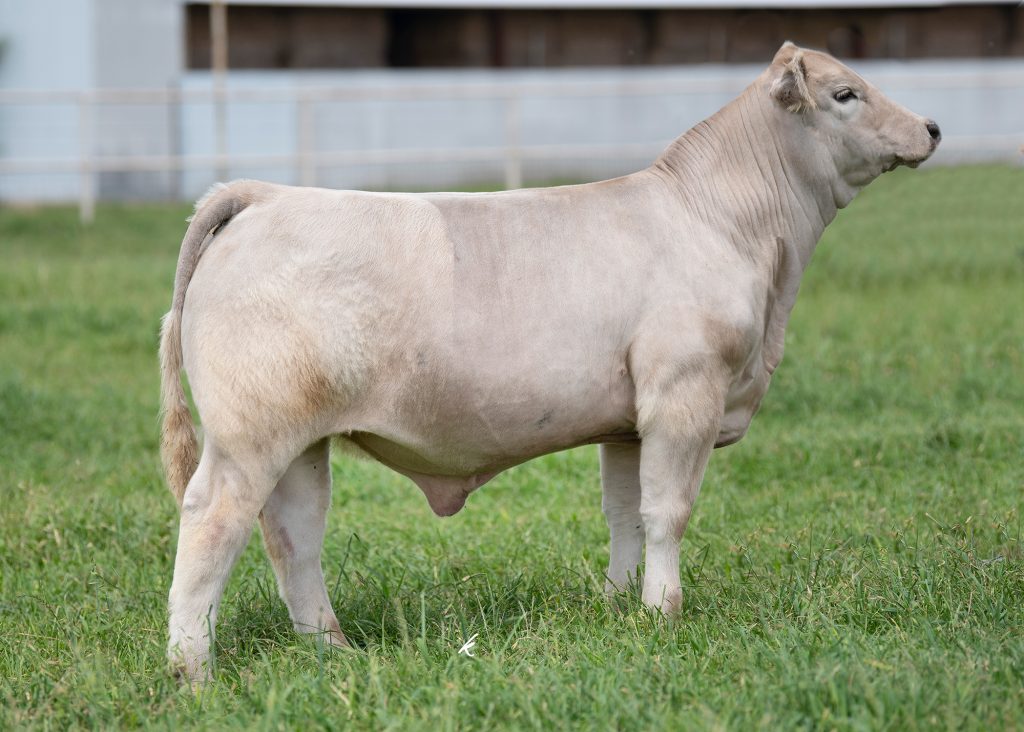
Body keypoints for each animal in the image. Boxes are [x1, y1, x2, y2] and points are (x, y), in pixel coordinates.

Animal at [160, 42, 940, 681]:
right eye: (845, 93)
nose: (932, 128)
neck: (730, 228)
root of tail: (264, 195)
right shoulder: (683, 393)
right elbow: (668, 511)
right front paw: (665, 611)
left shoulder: (627, 424)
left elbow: (625, 515)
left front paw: (622, 606)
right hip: (249, 436)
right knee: (213, 521)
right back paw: (193, 668)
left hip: (300, 439)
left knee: (294, 535)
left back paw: (333, 649)